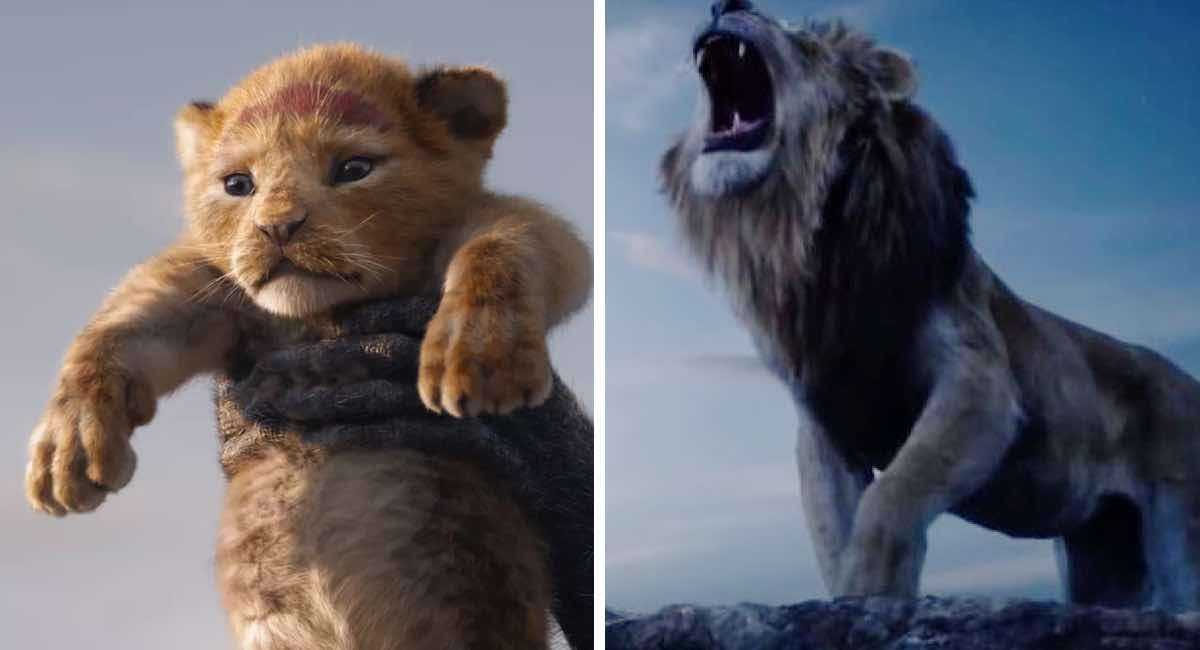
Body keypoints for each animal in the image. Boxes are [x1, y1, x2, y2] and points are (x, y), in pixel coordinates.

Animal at [24, 43, 591, 648]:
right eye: (238, 184)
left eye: (353, 170)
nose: (277, 227)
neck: (317, 318)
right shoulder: (210, 289)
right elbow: (120, 323)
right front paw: (66, 448)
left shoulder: (507, 226)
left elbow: (502, 246)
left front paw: (478, 356)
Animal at [662, 1, 1200, 611]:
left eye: (803, 42)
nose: (727, 5)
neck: (817, 240)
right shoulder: (822, 424)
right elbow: (832, 531)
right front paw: (850, 597)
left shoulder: (981, 383)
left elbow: (898, 488)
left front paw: (871, 590)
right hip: (1102, 556)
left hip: (1179, 532)